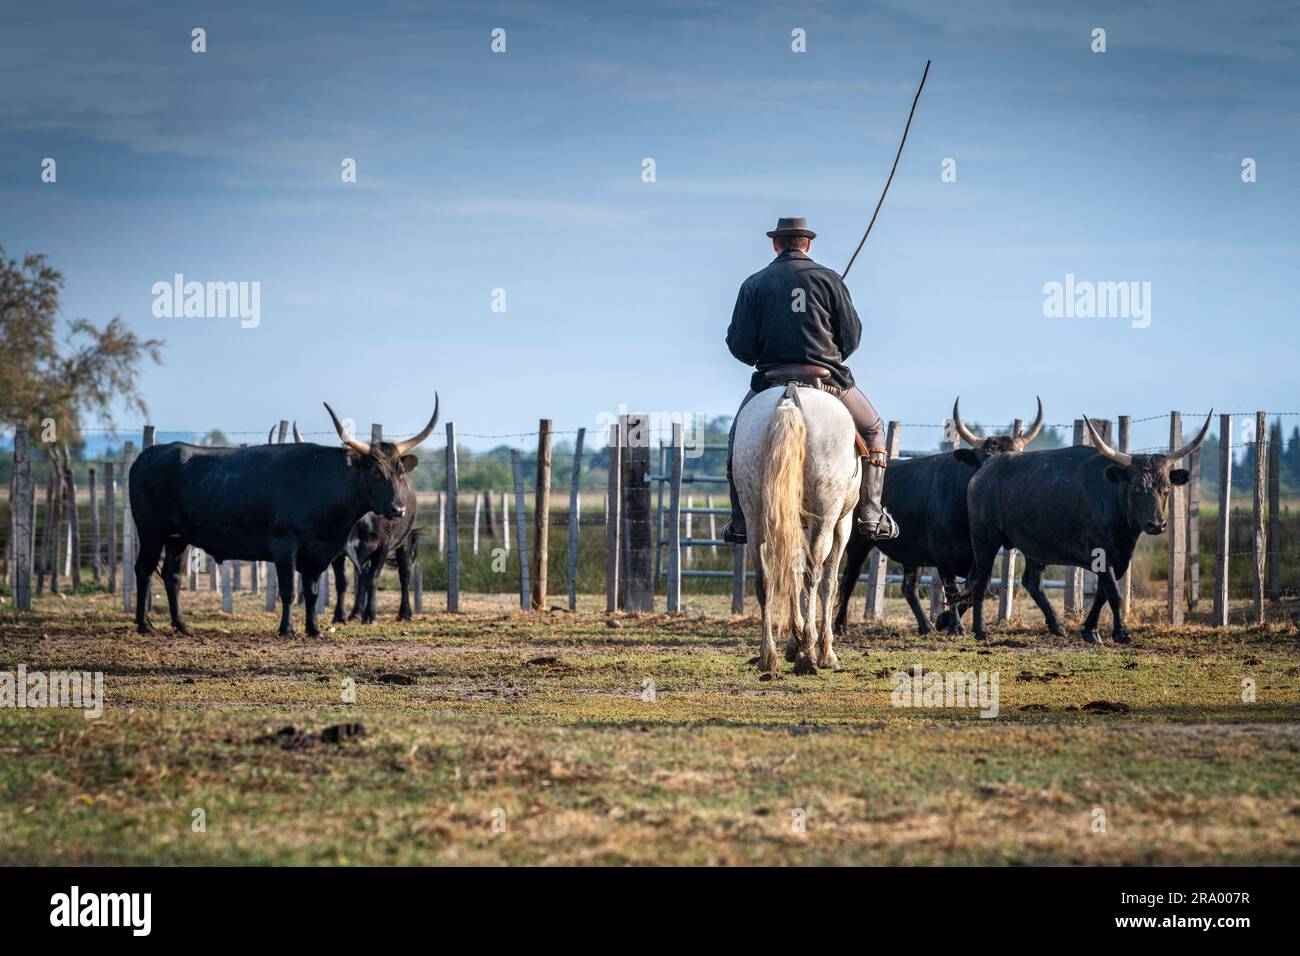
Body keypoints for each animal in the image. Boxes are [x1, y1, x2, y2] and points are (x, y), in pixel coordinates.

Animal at [285, 422, 419, 624]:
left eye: (399, 473)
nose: (398, 509)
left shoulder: (383, 545)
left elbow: (373, 579)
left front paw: (371, 615)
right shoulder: (338, 548)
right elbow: (343, 582)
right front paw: (339, 616)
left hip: (404, 540)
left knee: (404, 572)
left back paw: (404, 613)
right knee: (361, 576)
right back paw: (356, 612)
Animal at [833, 397, 1045, 636]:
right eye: (985, 459)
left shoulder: (979, 554)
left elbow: (972, 588)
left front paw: (943, 620)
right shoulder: (944, 555)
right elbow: (952, 589)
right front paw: (955, 626)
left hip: (911, 553)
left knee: (909, 588)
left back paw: (925, 625)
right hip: (858, 542)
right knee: (849, 579)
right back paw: (840, 625)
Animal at [965, 411, 1211, 644]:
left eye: (1167, 488)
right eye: (1135, 487)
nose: (1156, 524)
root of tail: (983, 471)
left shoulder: (1119, 557)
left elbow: (1102, 593)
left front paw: (1090, 630)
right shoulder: (1100, 552)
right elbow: (1114, 593)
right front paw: (1120, 633)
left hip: (1034, 547)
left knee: (1032, 582)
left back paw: (1057, 626)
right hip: (984, 540)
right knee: (980, 581)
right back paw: (980, 631)